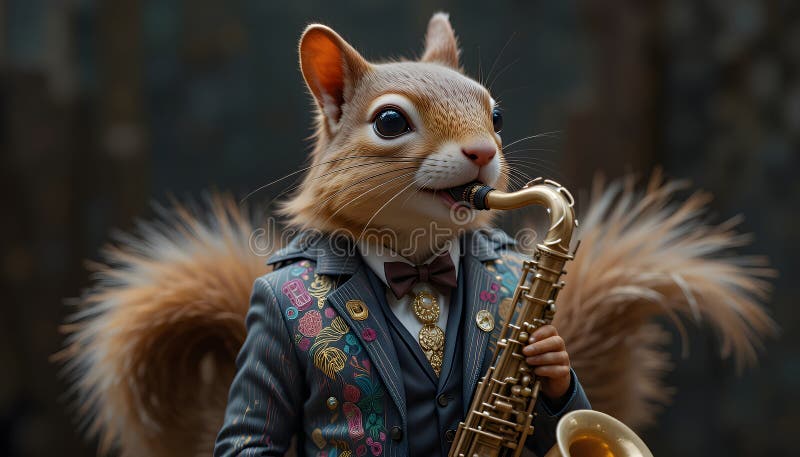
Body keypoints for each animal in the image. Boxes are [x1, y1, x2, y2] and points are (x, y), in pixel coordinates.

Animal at [58, 12, 775, 457]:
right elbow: (252, 430)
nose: (485, 155)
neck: (420, 262)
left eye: (497, 114)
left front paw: (548, 354)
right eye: (391, 122)